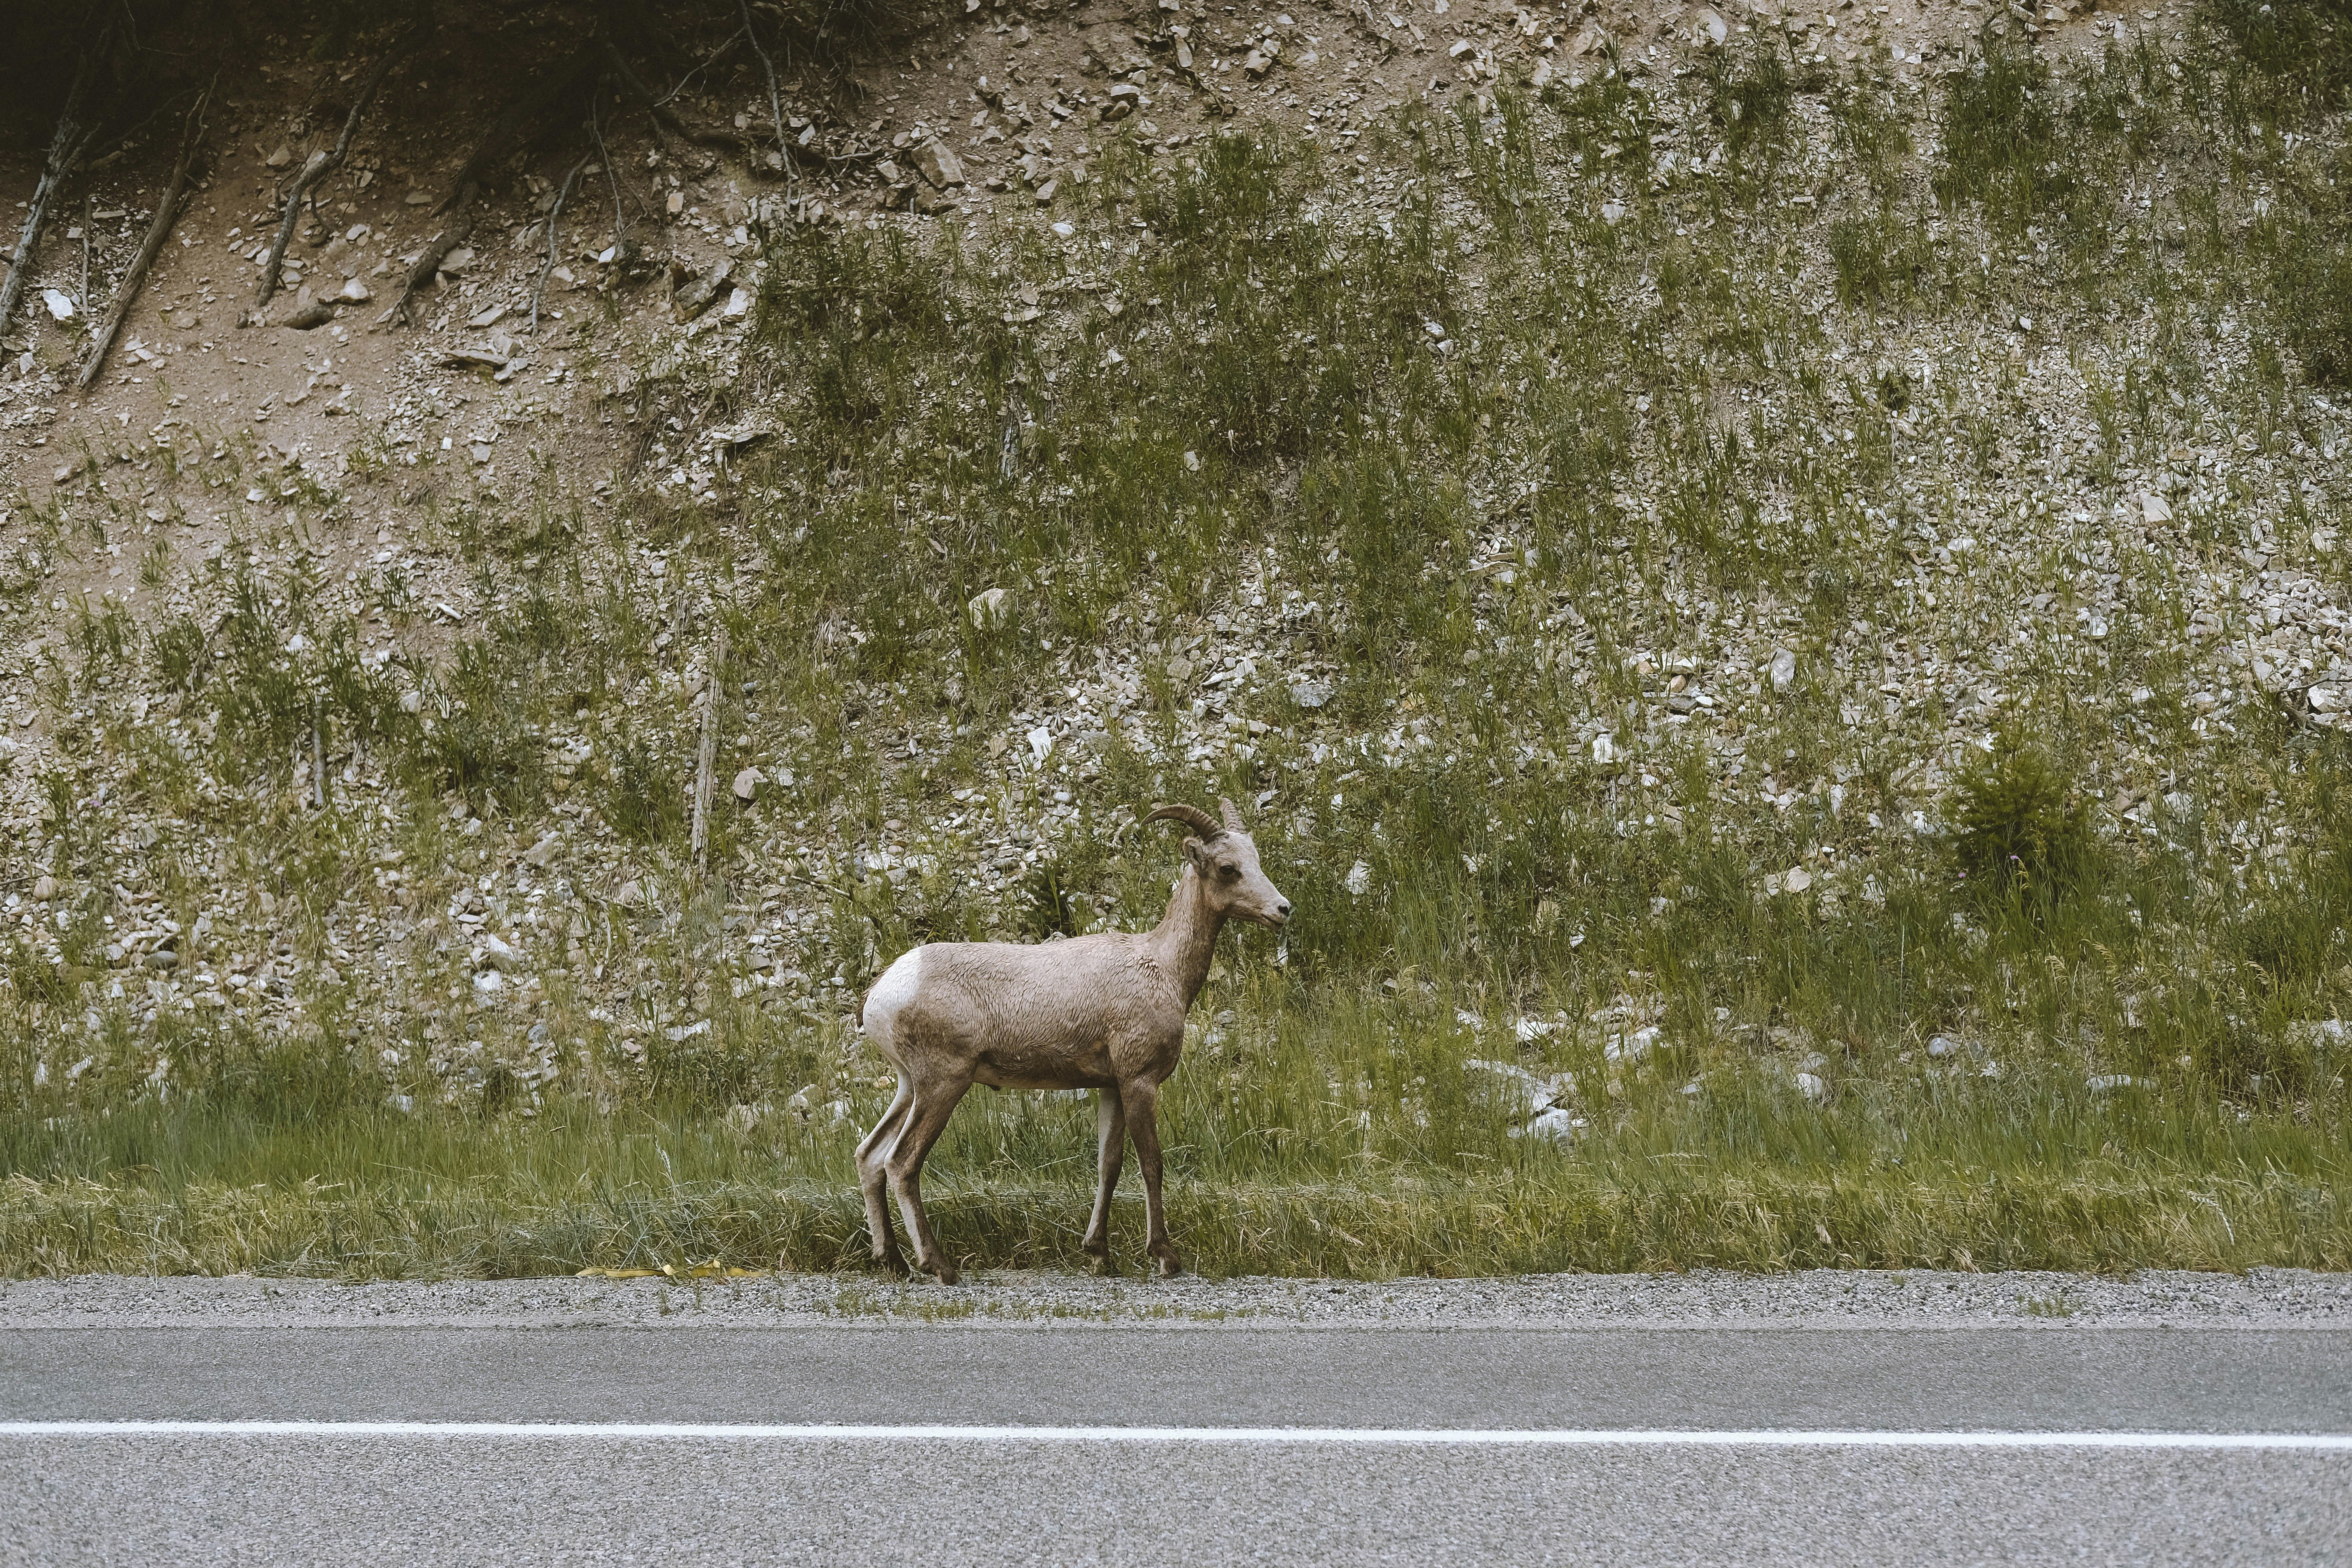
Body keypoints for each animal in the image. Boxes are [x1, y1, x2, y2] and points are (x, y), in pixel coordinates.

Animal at [854, 799, 1292, 1283]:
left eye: (1255, 859)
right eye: (1228, 867)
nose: (1283, 908)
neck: (1162, 967)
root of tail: (882, 992)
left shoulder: (1111, 1087)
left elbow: (1109, 1165)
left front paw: (1100, 1254)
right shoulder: (1139, 1081)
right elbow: (1151, 1163)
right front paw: (1165, 1257)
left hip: (908, 1086)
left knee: (869, 1156)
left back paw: (893, 1261)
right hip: (943, 1084)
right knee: (901, 1162)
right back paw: (940, 1266)